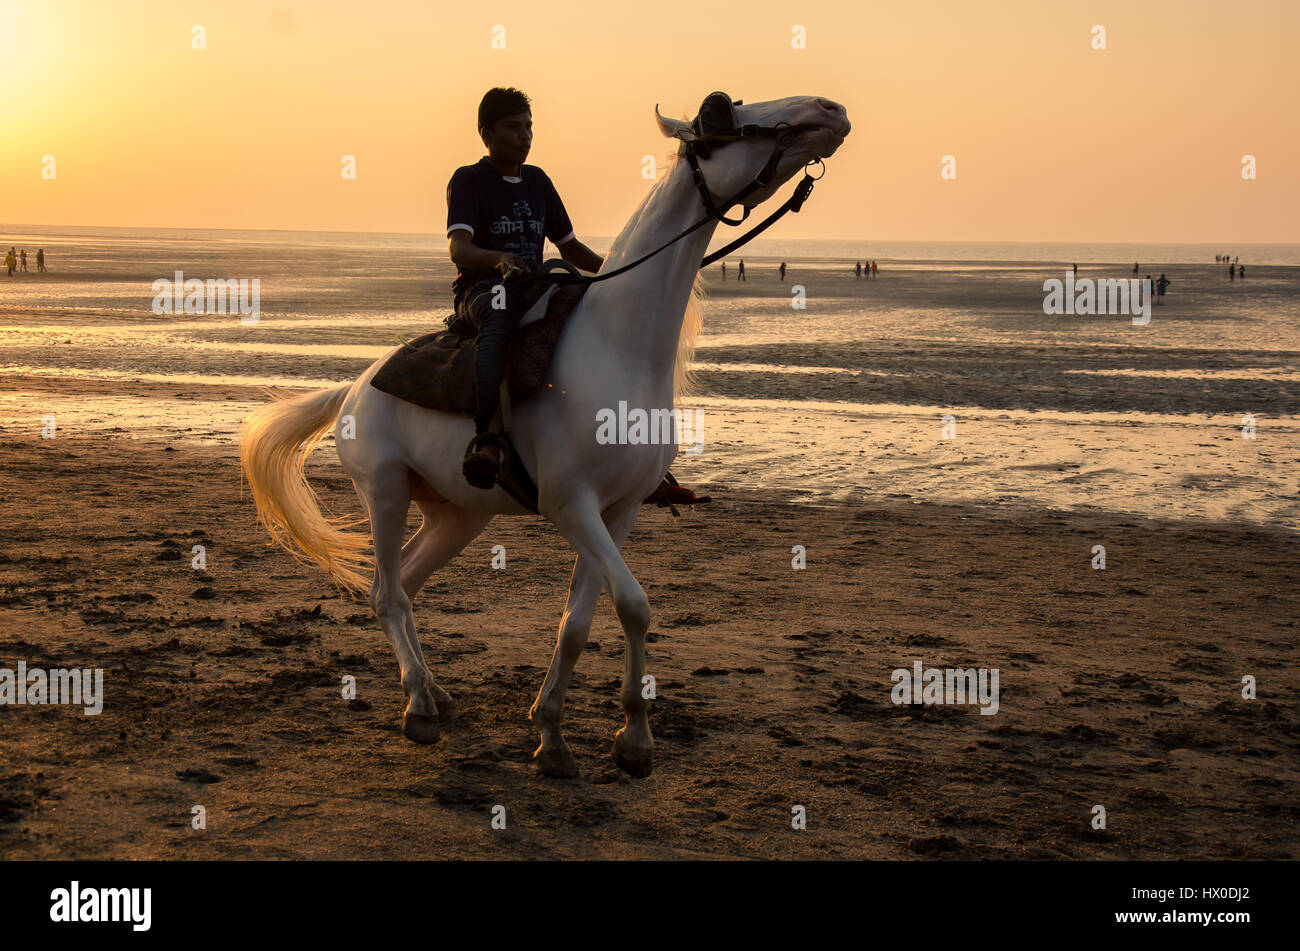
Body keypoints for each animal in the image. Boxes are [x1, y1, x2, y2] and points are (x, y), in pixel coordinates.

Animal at [238, 93, 850, 779]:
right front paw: (623, 739)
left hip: (458, 515)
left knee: (405, 586)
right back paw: (419, 706)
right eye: (720, 117)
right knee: (388, 595)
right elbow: (633, 604)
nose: (829, 109)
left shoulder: (619, 511)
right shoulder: (570, 505)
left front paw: (568, 735)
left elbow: (579, 622)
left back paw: (435, 691)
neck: (617, 347)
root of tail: (354, 387)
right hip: (386, 495)